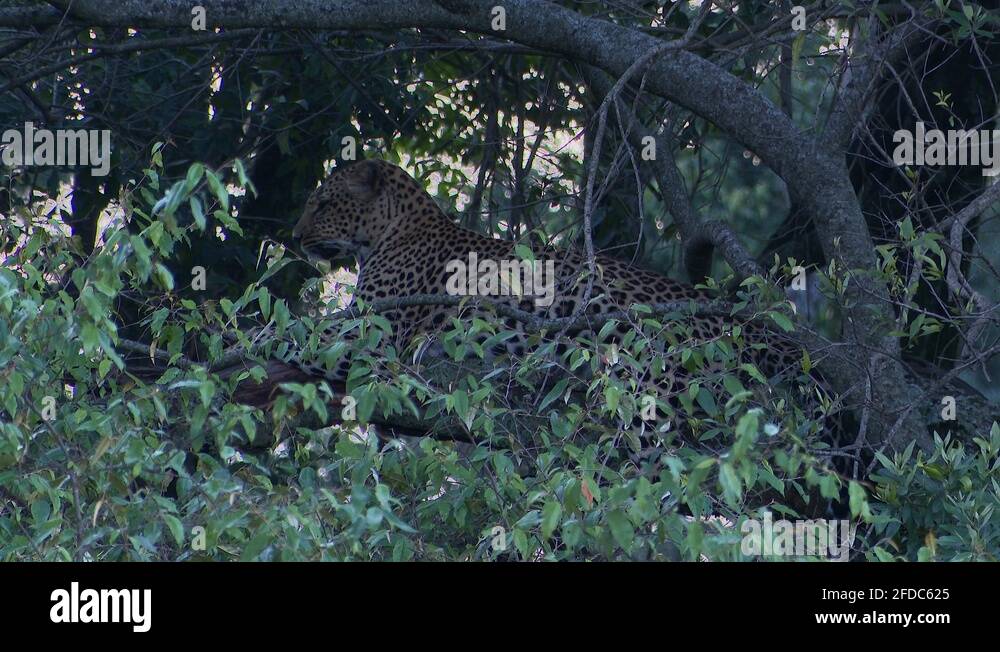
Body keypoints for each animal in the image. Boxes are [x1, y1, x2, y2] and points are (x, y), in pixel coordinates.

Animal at [287, 159, 822, 437]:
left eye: (323, 203)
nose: (294, 236)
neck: (394, 231)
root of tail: (731, 322)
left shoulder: (368, 330)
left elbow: (302, 334)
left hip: (649, 383)